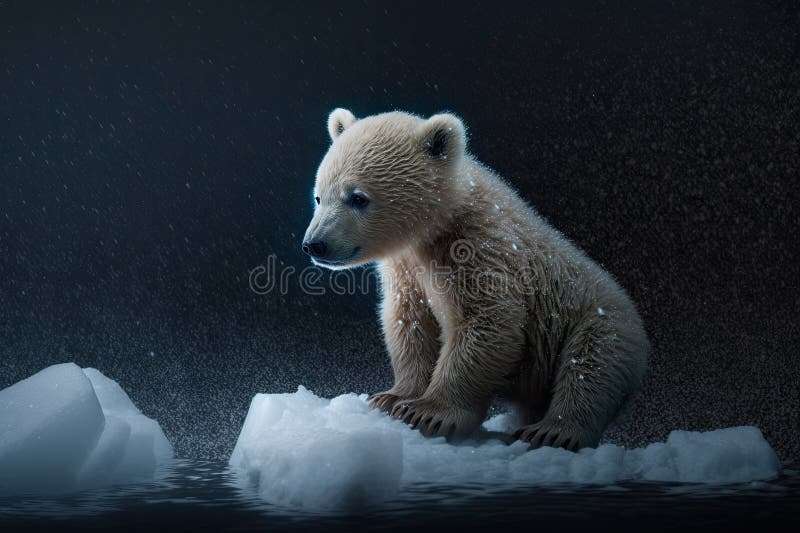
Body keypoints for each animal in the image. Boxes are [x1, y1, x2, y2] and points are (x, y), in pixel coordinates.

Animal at [302, 108, 649, 451]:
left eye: (358, 197)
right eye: (319, 196)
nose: (315, 244)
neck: (442, 222)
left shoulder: (481, 249)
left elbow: (487, 323)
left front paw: (429, 412)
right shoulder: (406, 268)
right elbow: (410, 322)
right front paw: (391, 397)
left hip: (598, 322)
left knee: (590, 369)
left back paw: (553, 431)